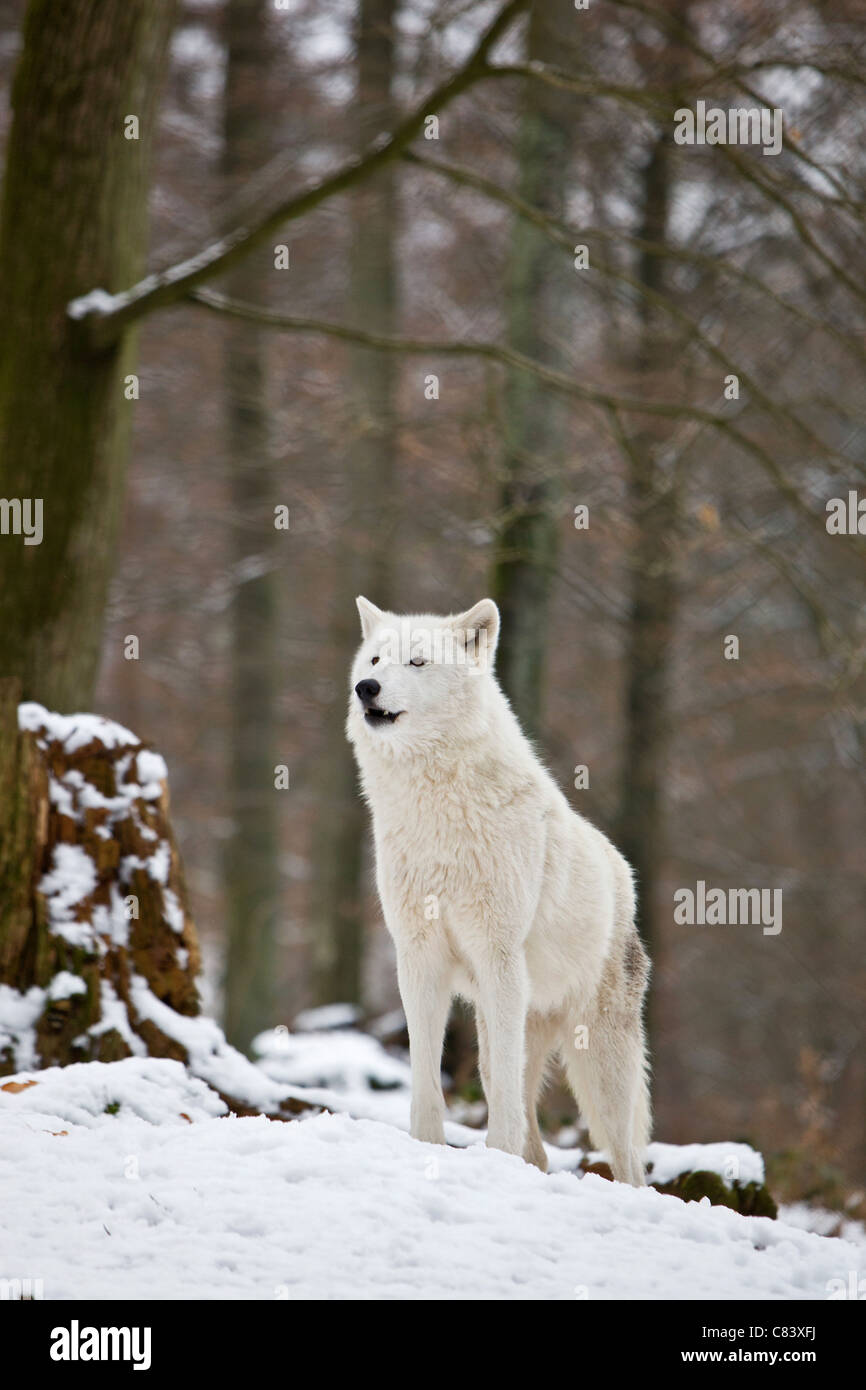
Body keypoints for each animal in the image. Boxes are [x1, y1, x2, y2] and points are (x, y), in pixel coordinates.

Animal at [346, 595, 651, 1185]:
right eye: (374, 660)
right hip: (504, 1026)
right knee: (539, 1144)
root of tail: (623, 872)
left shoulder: (498, 953)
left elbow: (504, 1103)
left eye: (417, 662)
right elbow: (425, 1073)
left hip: (599, 1061)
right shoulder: (417, 956)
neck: (436, 813)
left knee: (628, 1158)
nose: (366, 688)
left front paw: (496, 1157)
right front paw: (427, 1146)